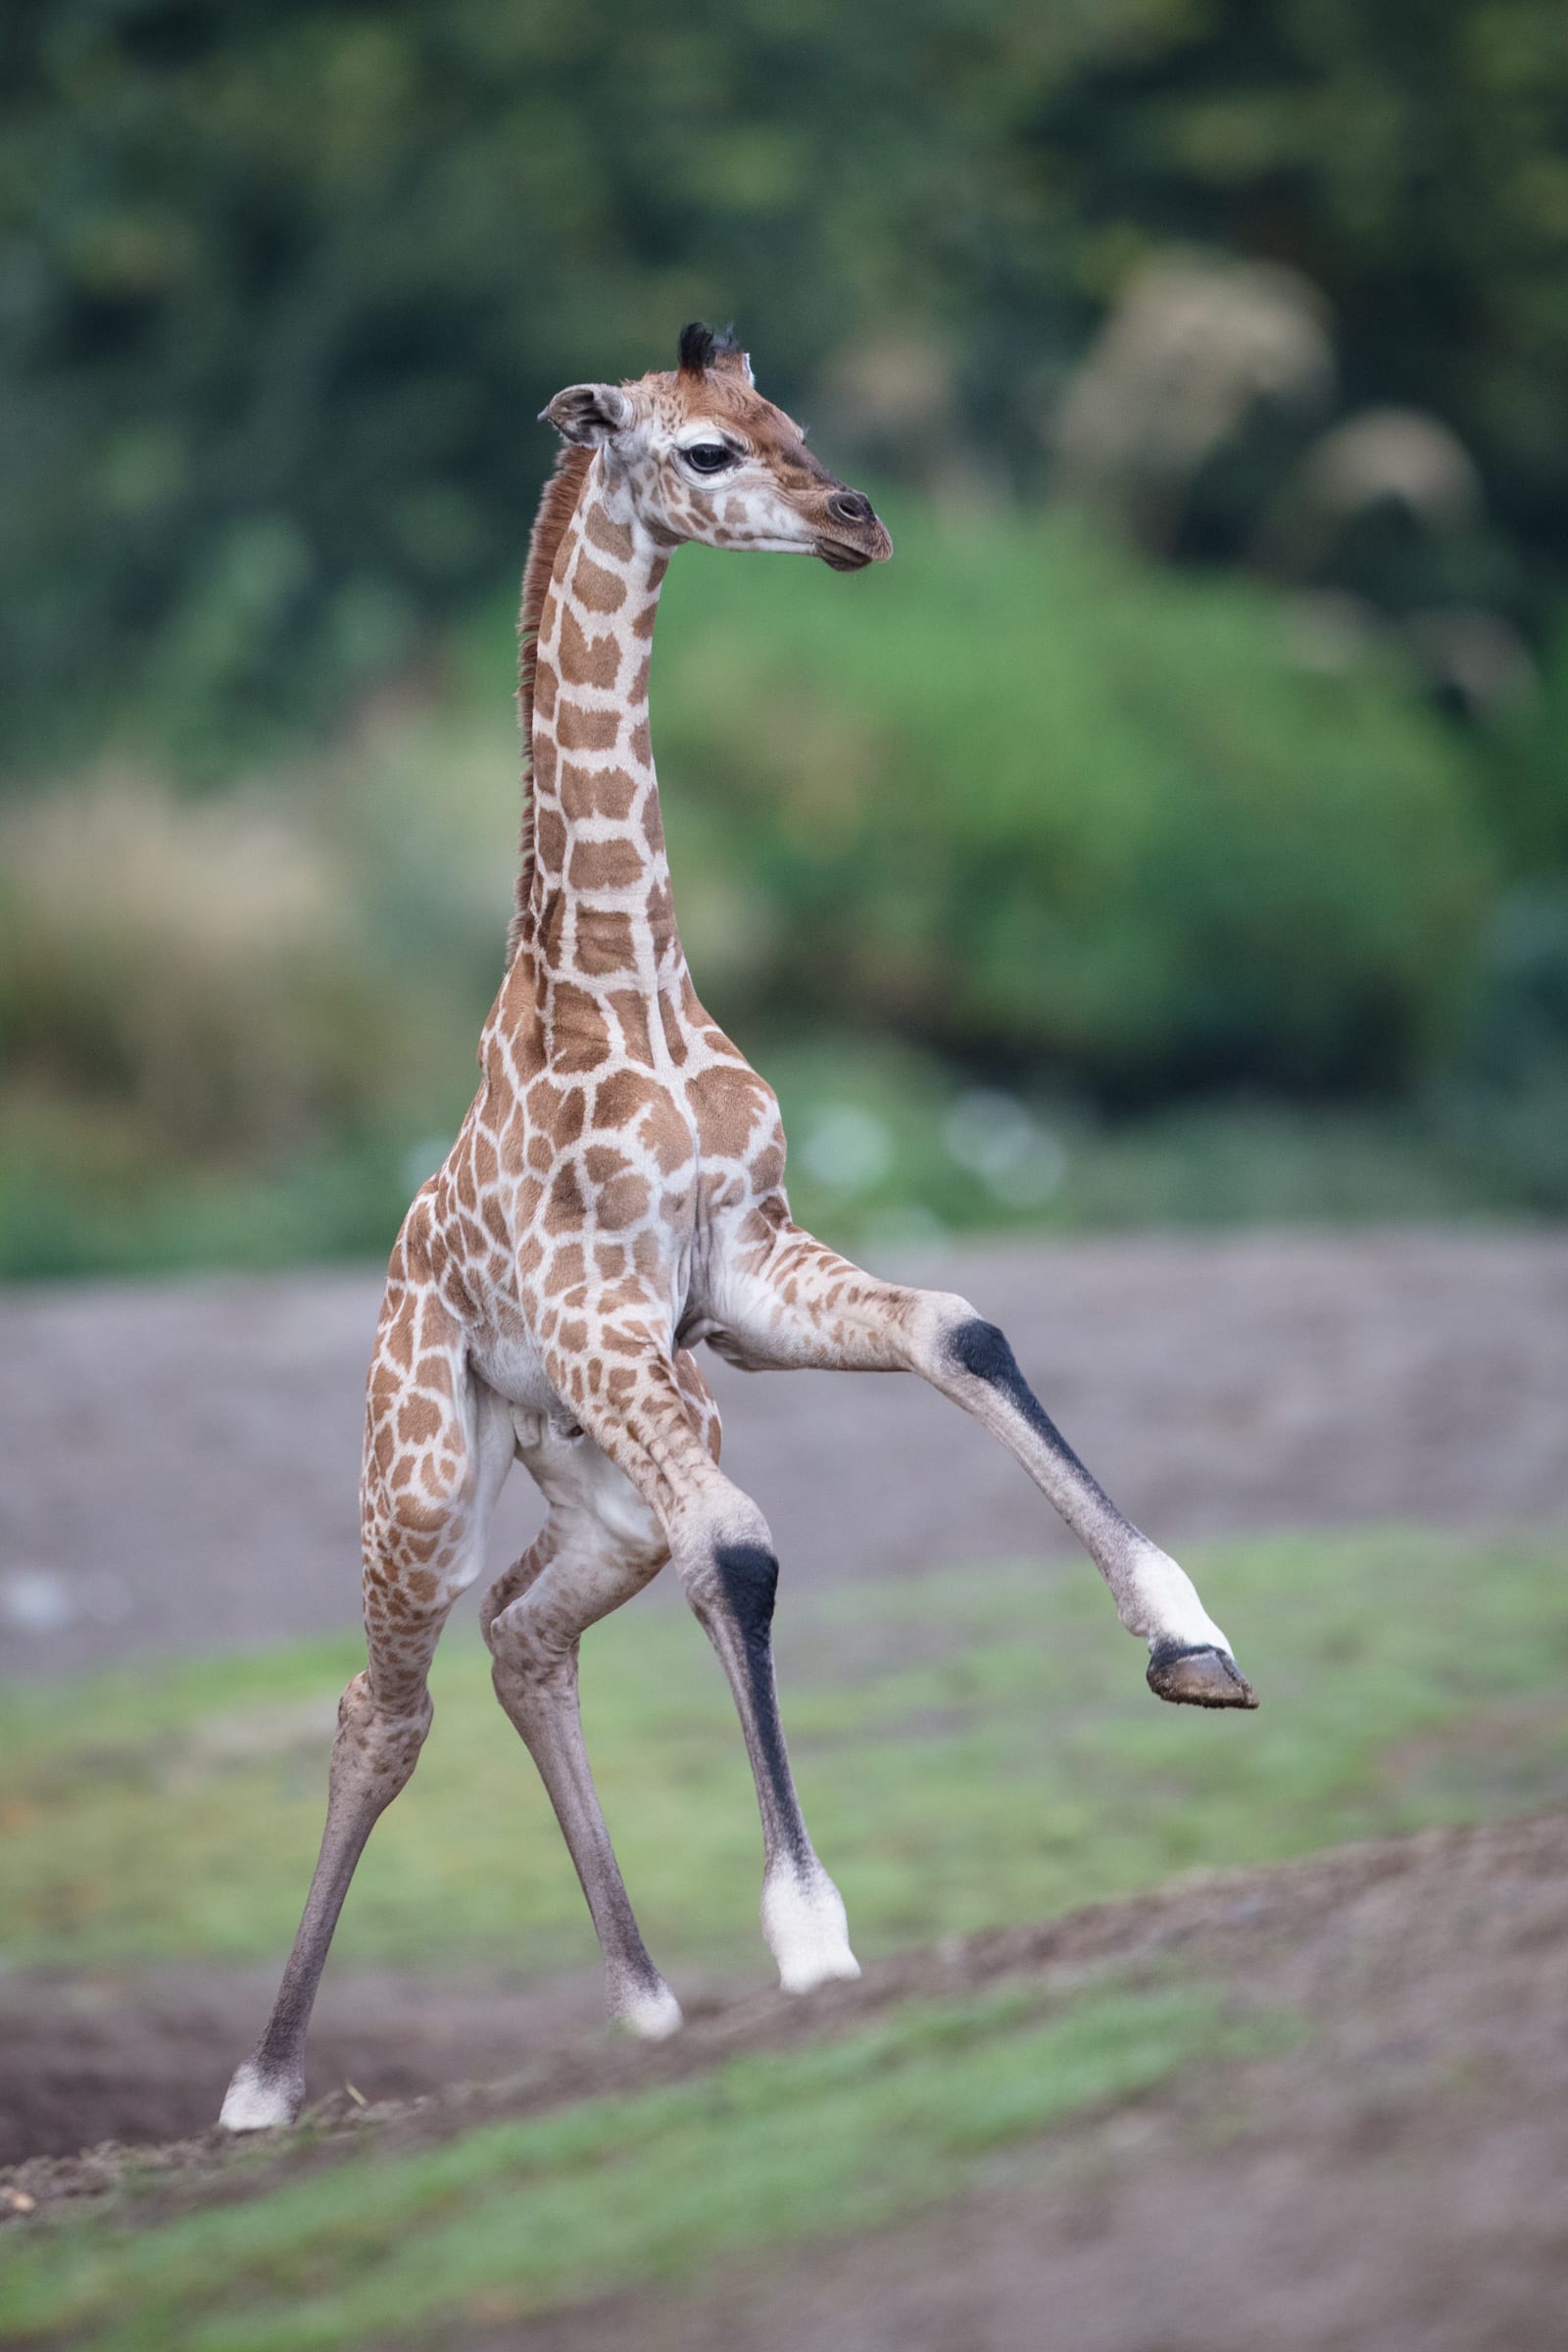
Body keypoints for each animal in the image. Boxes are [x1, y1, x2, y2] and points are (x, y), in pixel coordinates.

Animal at [220, 321, 1256, 2132]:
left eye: (790, 416)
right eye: (704, 452)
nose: (858, 519)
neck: (625, 979)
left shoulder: (741, 1287)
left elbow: (960, 1329)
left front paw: (1192, 1640)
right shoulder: (605, 1314)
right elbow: (756, 1548)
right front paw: (815, 1939)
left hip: (604, 1474)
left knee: (528, 1641)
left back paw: (647, 2010)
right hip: (429, 1471)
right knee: (384, 1702)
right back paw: (261, 2095)